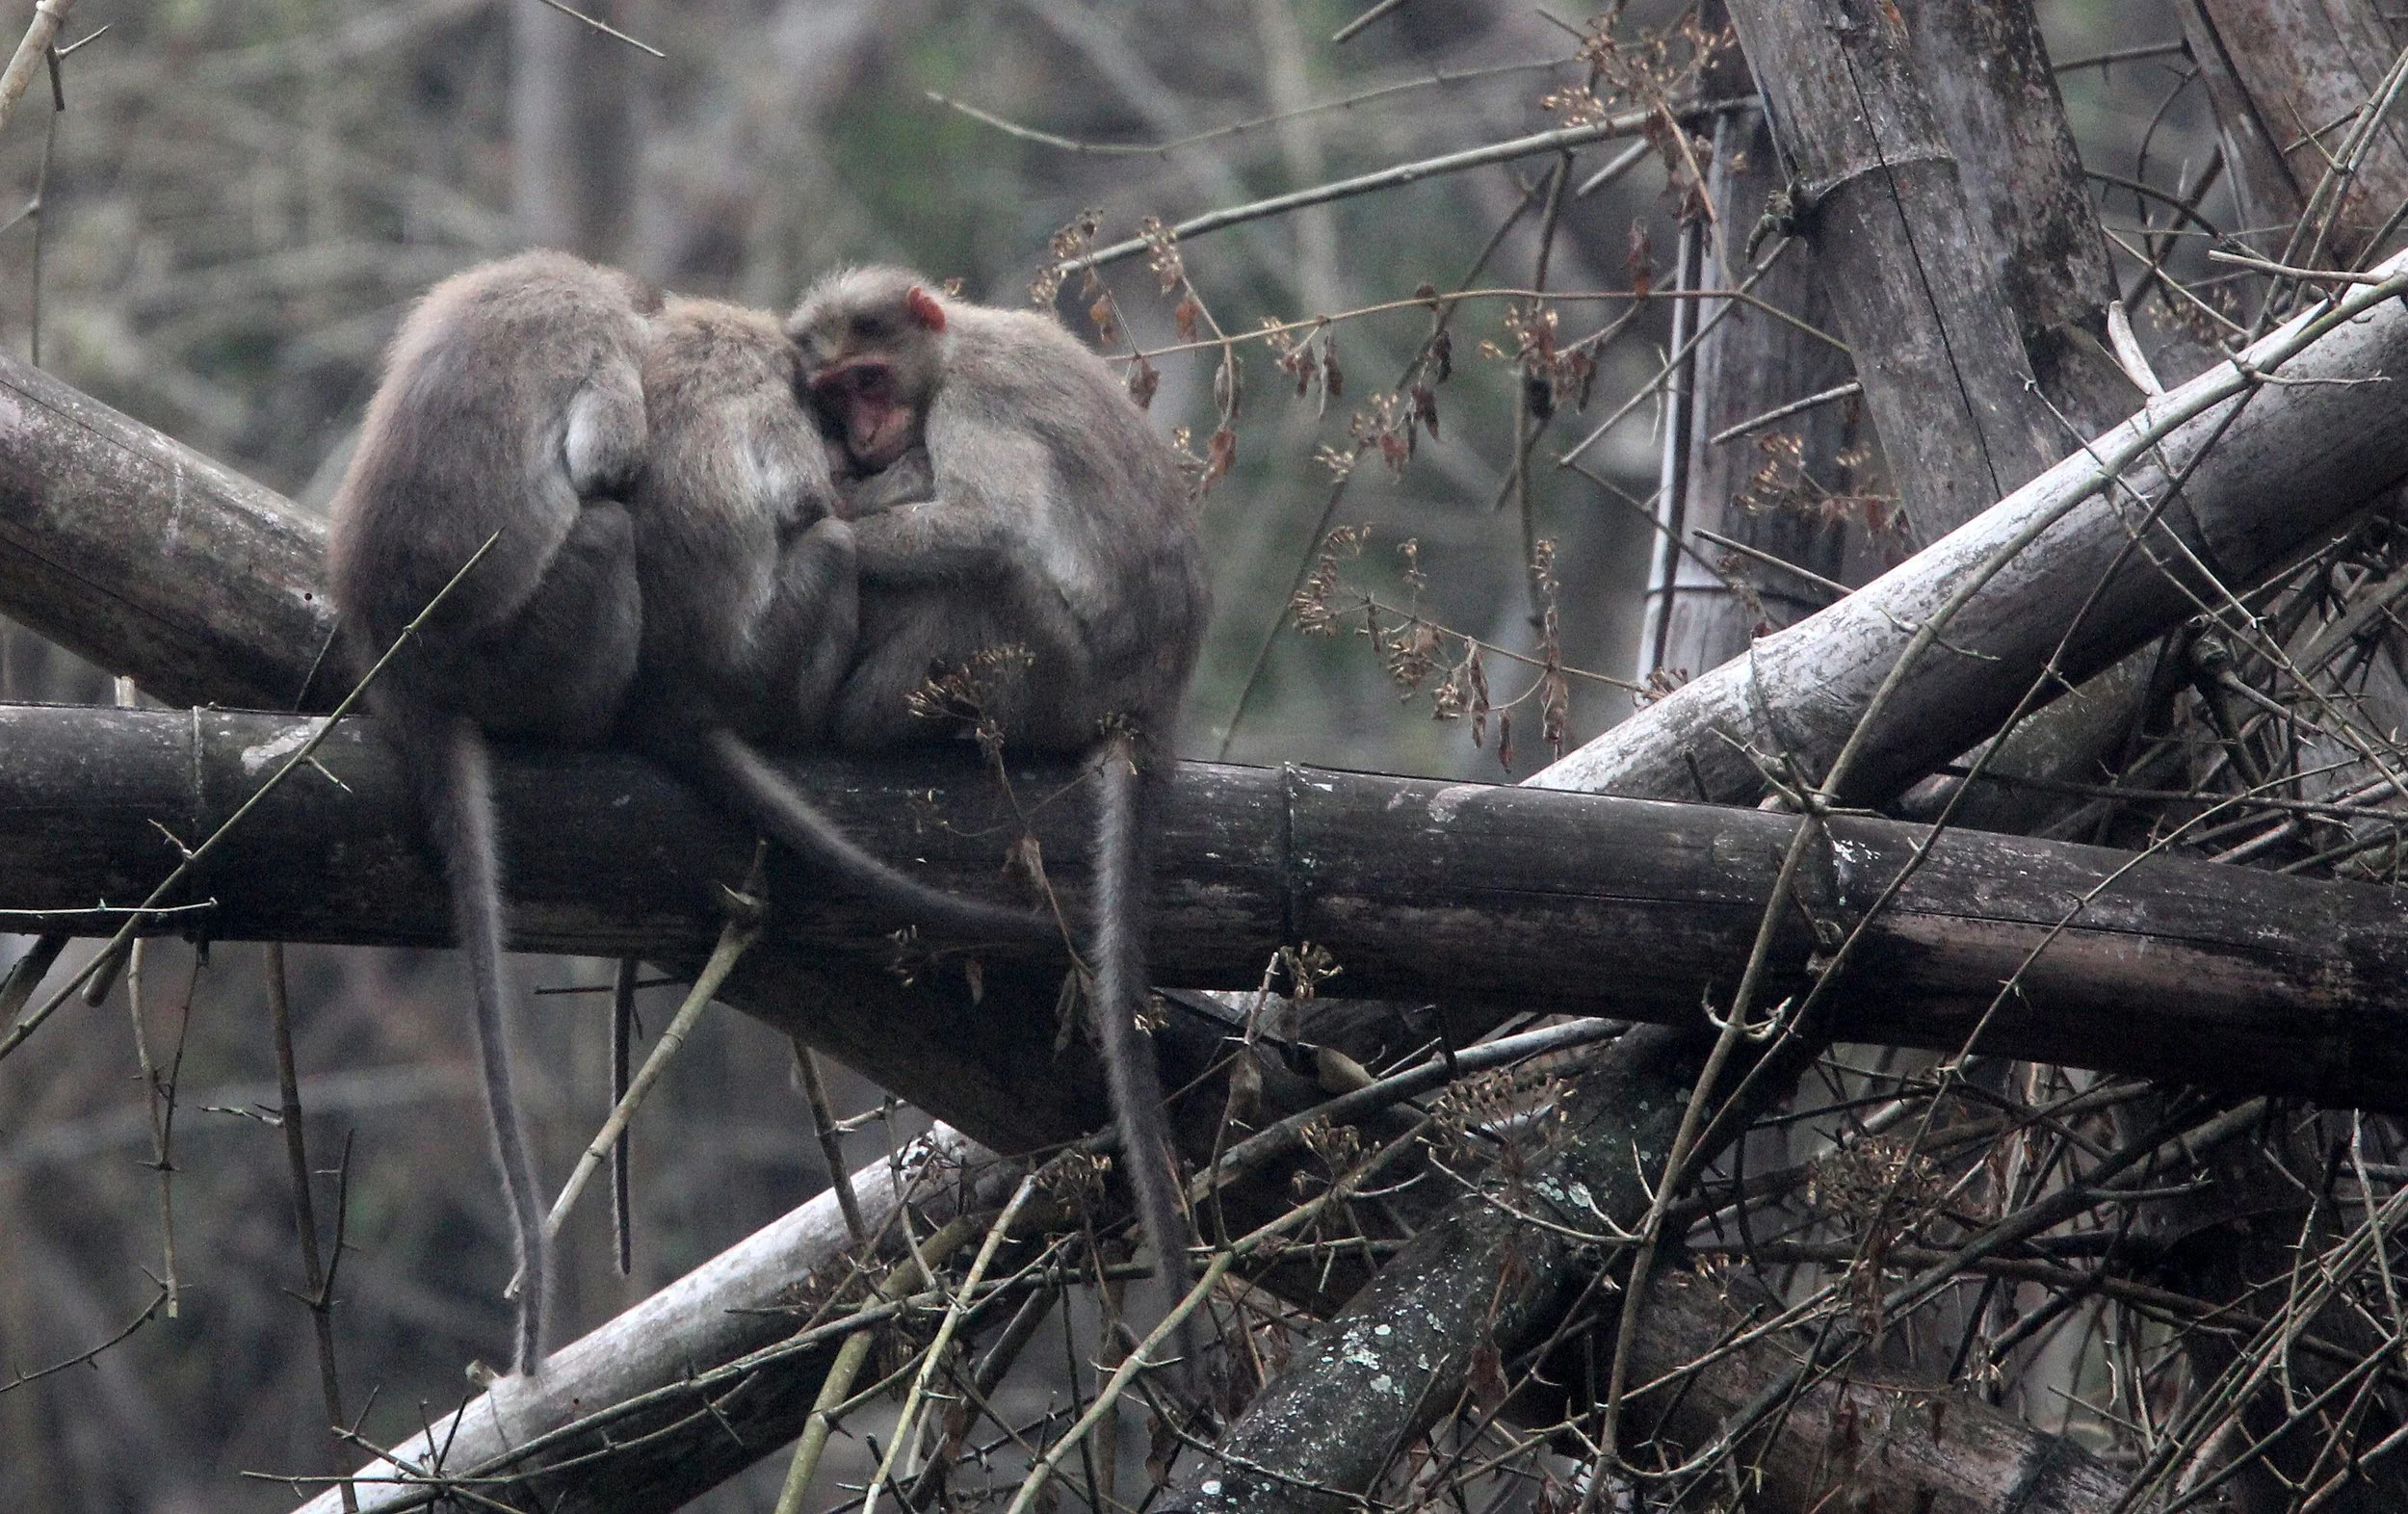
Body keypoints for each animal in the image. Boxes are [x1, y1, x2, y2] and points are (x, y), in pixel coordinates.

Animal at [624, 295, 1057, 944]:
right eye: (835, 403)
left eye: (862, 392)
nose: (856, 437)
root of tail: (674, 696)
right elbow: (812, 503)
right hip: (765, 675)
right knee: (831, 544)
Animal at [788, 268, 1212, 1357]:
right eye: (836, 392)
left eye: (867, 378)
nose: (862, 431)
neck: (950, 352)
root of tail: (1145, 710)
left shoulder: (972, 400)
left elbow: (983, 522)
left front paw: (827, 516)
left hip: (1041, 678)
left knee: (988, 568)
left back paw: (856, 721)